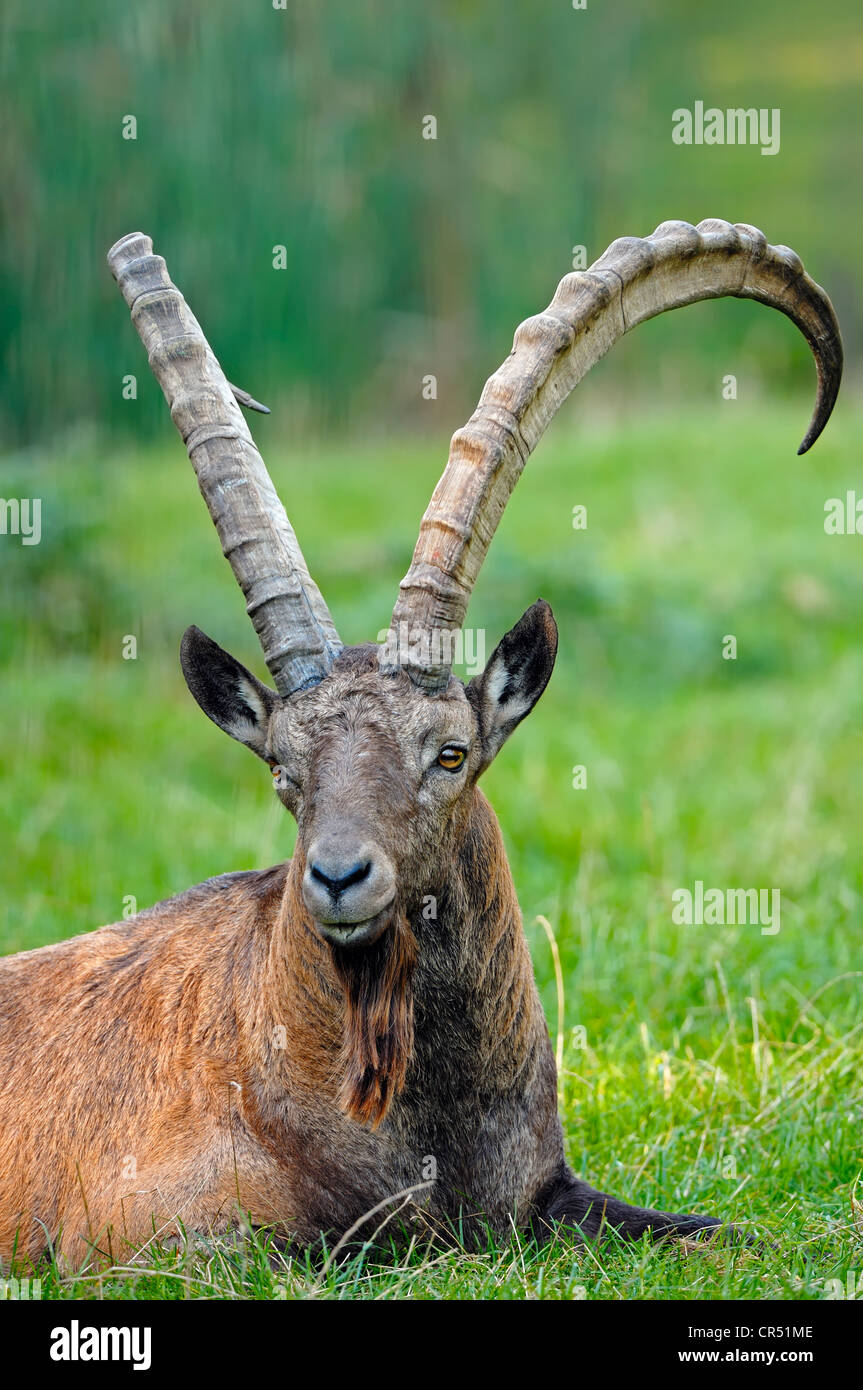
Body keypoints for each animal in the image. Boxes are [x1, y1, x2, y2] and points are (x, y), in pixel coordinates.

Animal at [0, 220, 842, 1269]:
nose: (337, 877)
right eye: (283, 772)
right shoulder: (153, 1237)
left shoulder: (548, 1191)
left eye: (449, 755)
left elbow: (724, 1234)